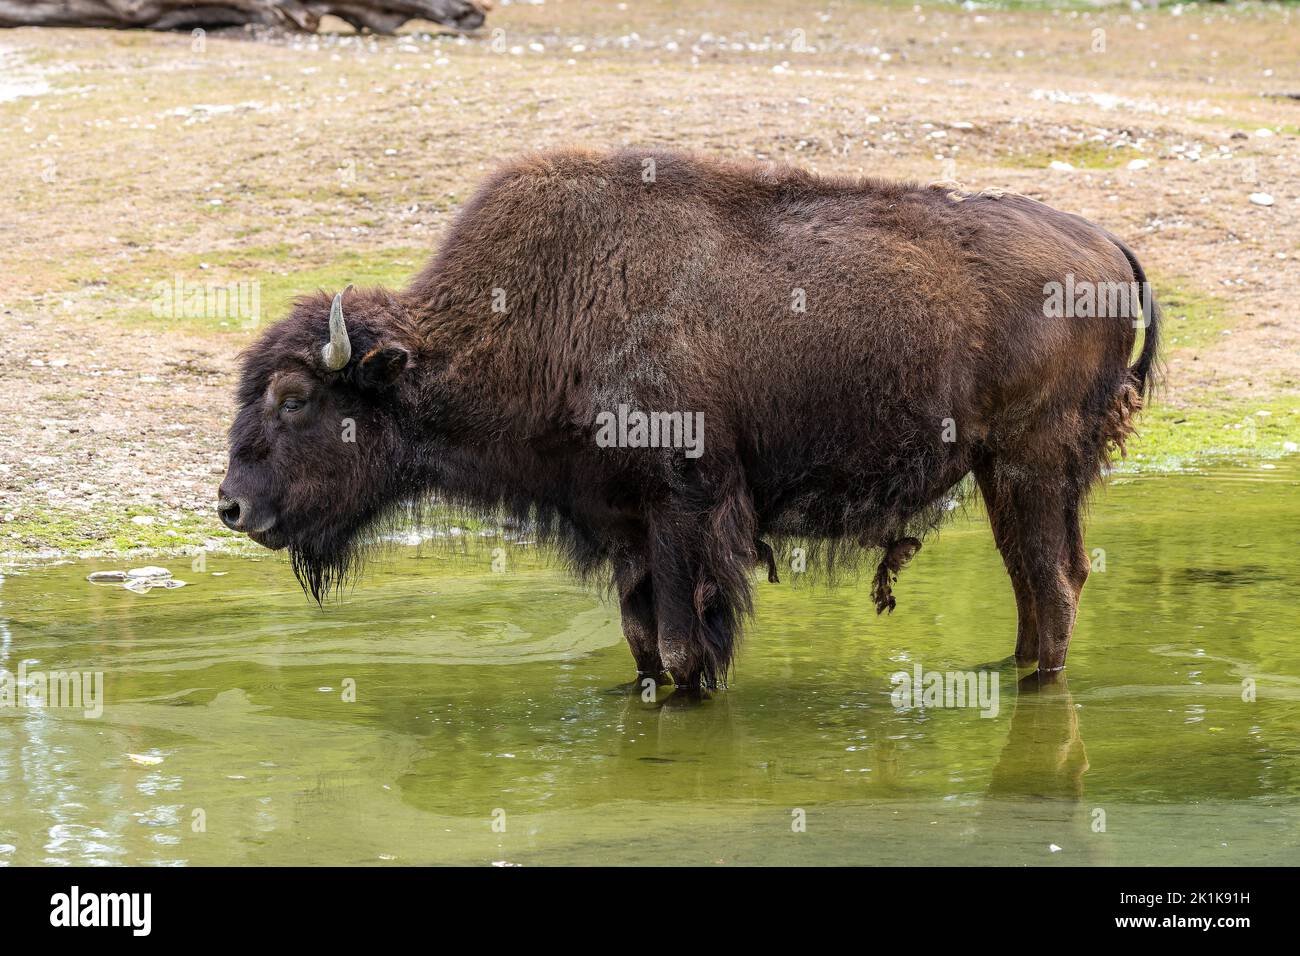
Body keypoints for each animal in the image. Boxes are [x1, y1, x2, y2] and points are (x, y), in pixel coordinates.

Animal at [219, 148, 1159, 691]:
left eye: (295, 398)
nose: (231, 505)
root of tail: (1111, 248)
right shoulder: (624, 526)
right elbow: (642, 645)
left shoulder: (686, 514)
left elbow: (679, 646)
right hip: (1006, 472)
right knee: (1040, 582)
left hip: (1033, 462)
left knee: (1053, 583)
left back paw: (1035, 688)